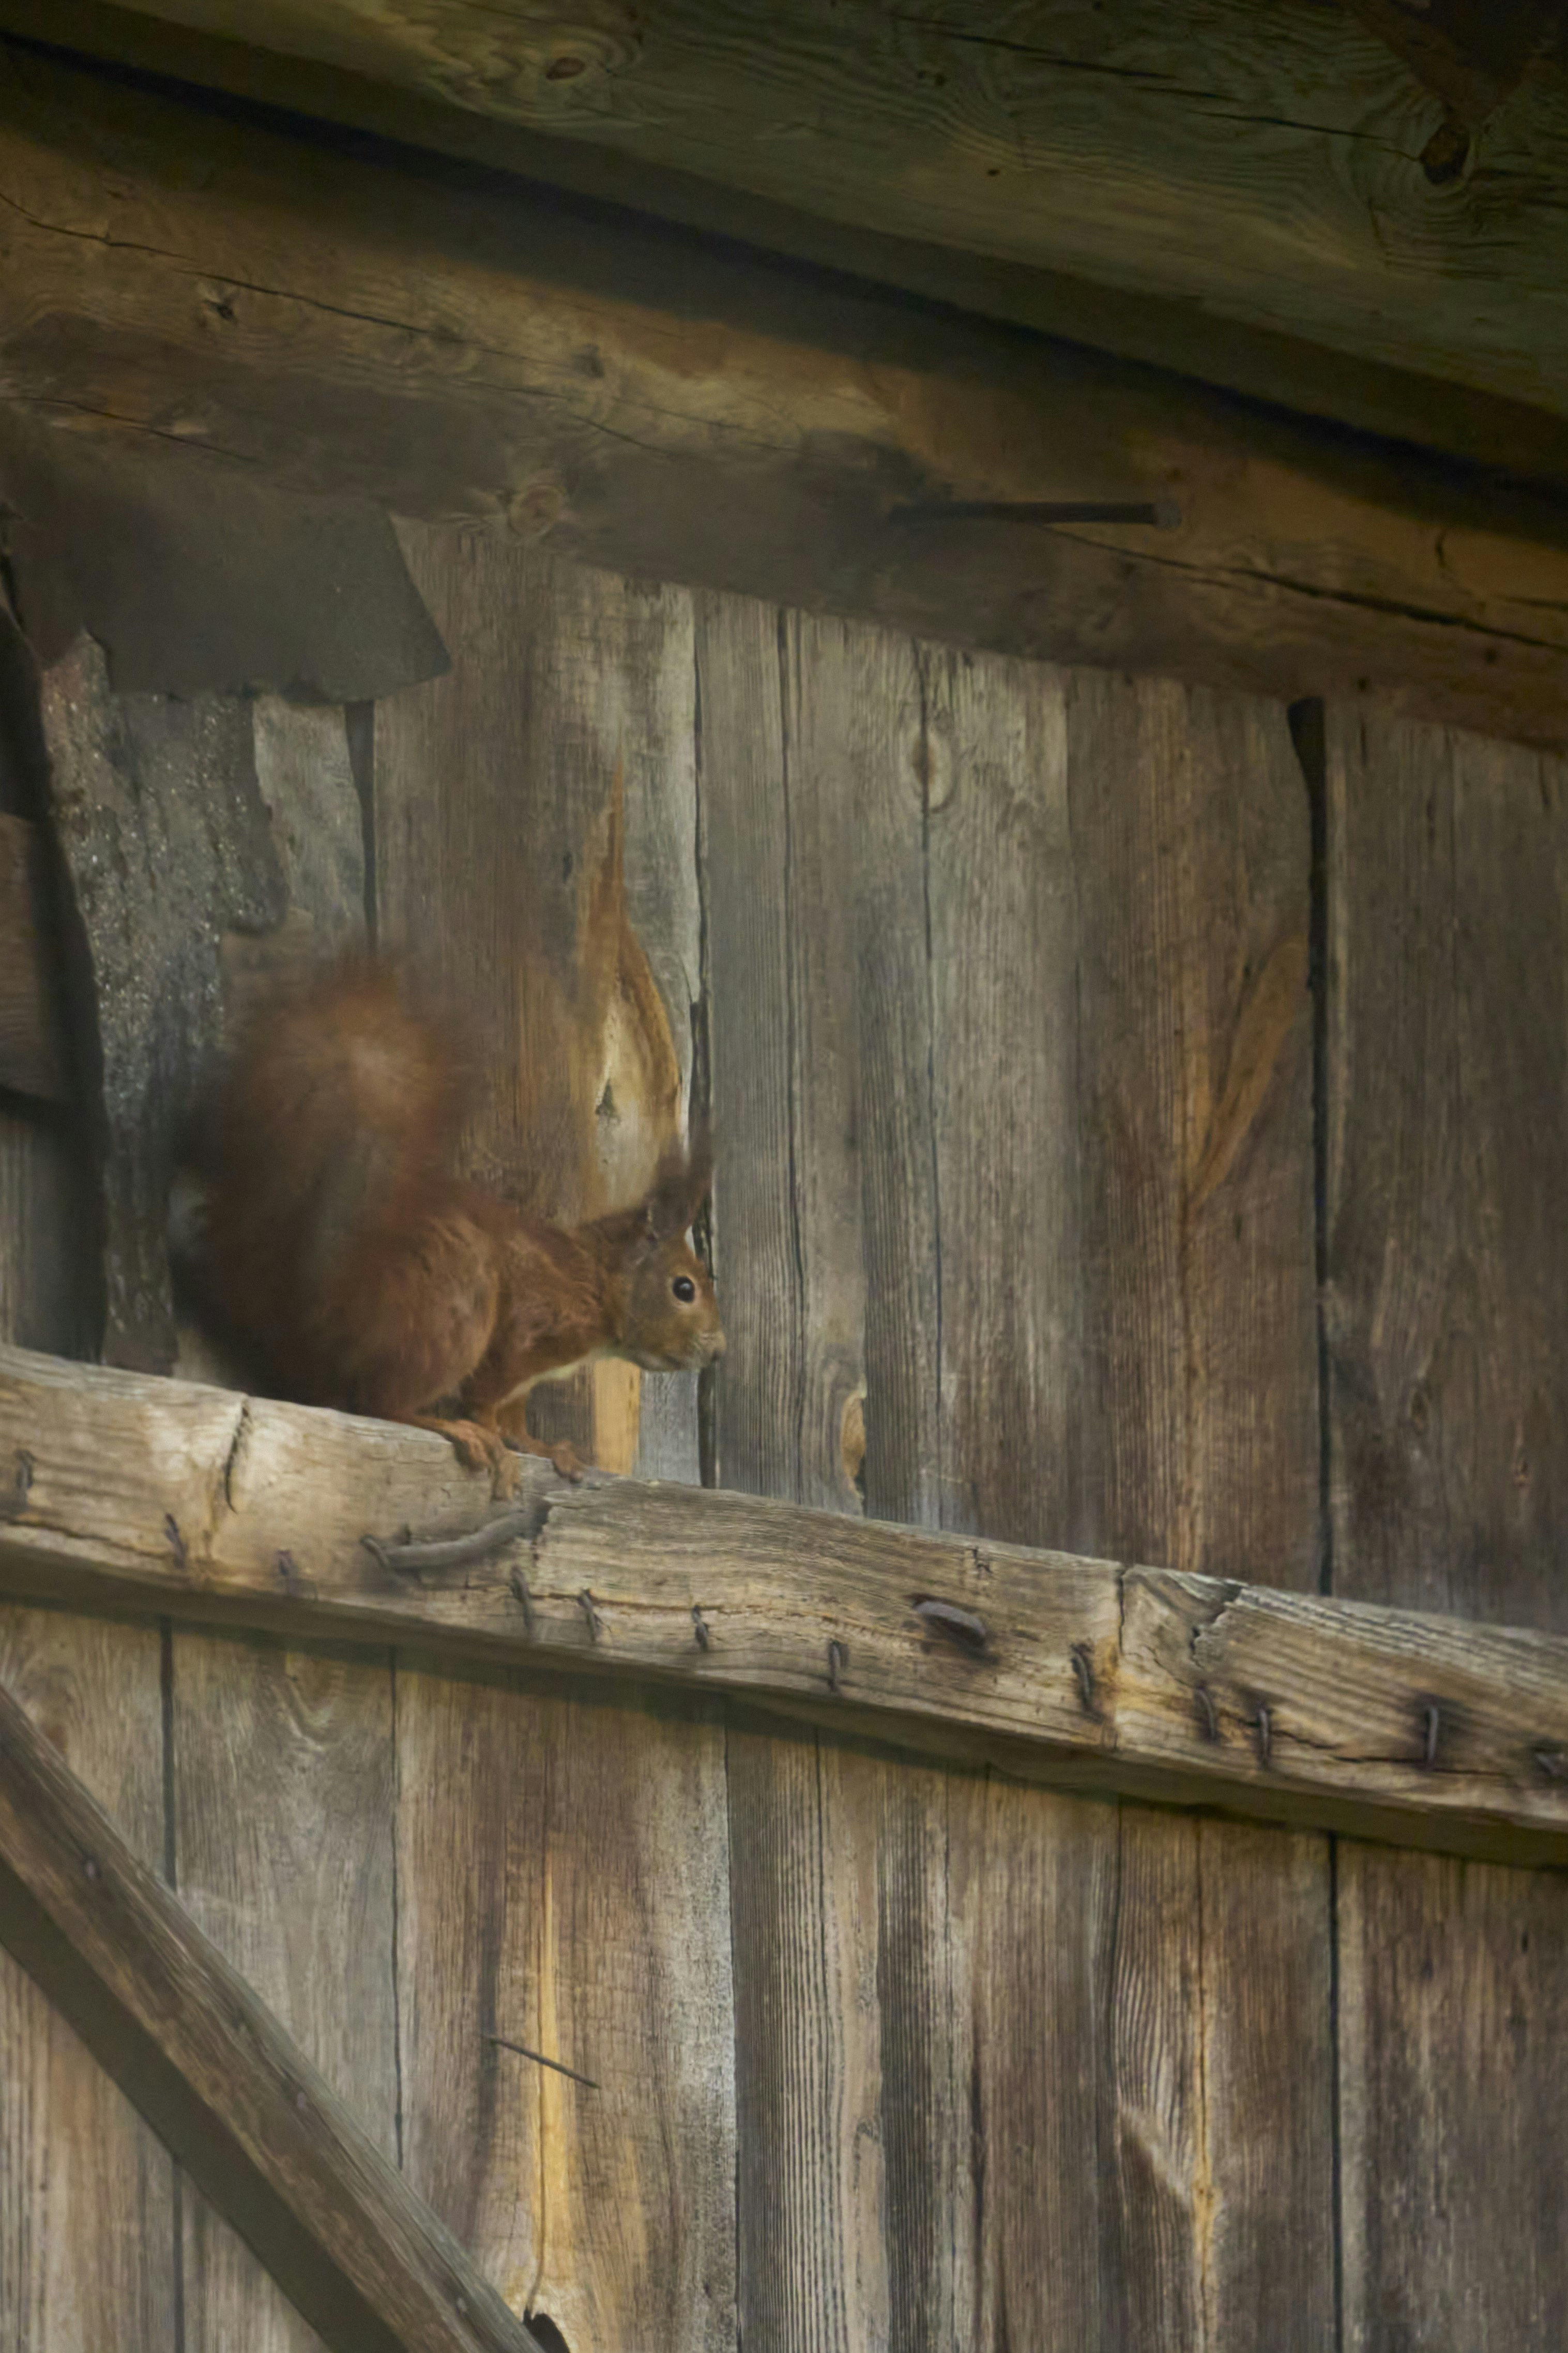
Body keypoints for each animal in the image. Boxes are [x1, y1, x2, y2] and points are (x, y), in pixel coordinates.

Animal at [187, 954, 723, 1488]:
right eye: (684, 1289)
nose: (717, 1352)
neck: (595, 1280)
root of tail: (330, 1307)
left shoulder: (527, 1379)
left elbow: (516, 1419)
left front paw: (545, 1448)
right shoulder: (523, 1336)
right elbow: (487, 1400)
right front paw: (496, 1439)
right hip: (452, 1313)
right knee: (383, 1404)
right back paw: (448, 1427)